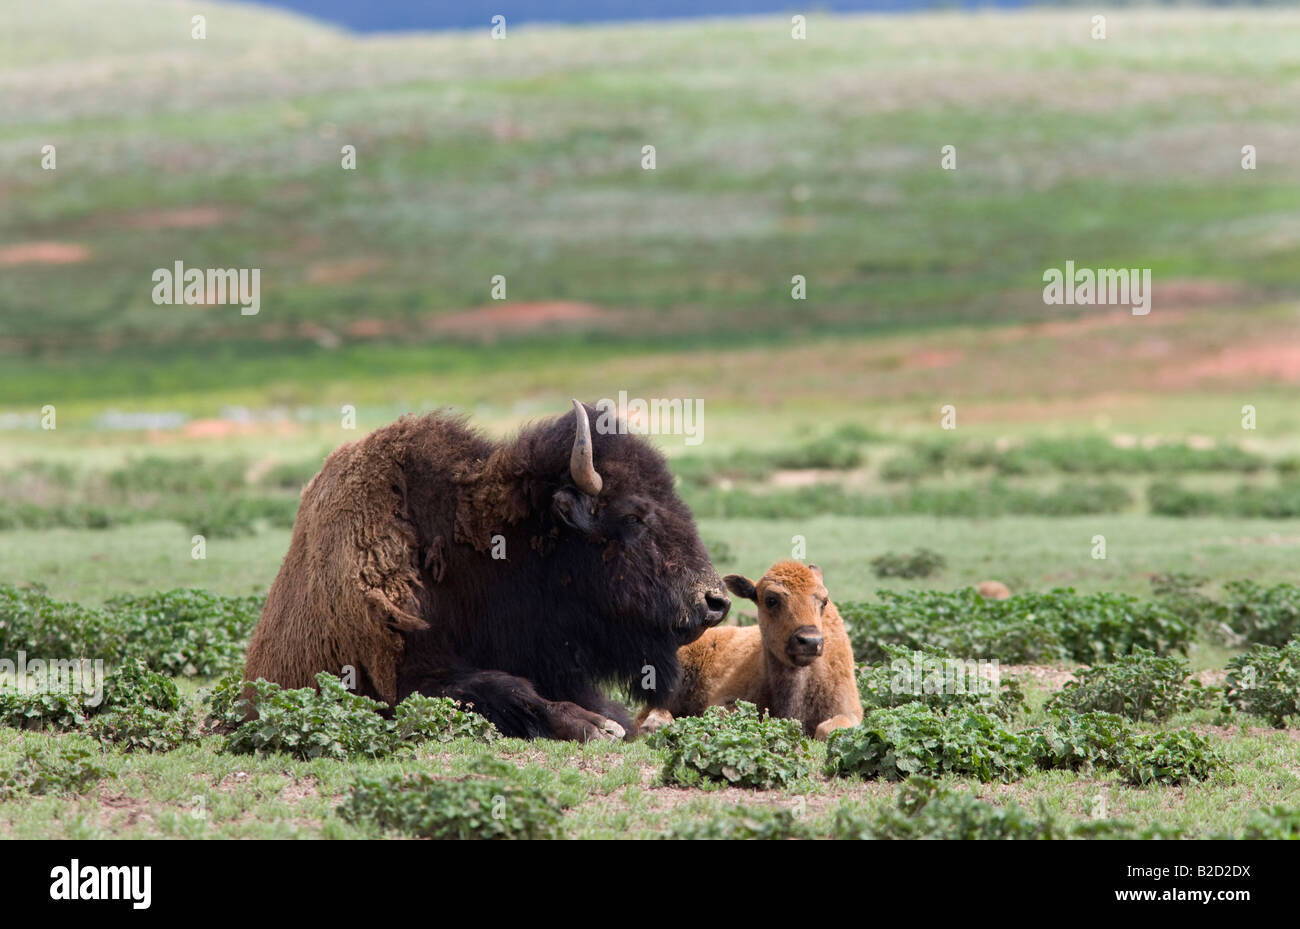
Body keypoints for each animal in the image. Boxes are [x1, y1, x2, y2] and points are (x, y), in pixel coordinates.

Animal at [243, 400, 731, 742]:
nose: (715, 601)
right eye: (633, 515)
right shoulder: (400, 680)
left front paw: (616, 723)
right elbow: (505, 688)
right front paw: (597, 727)